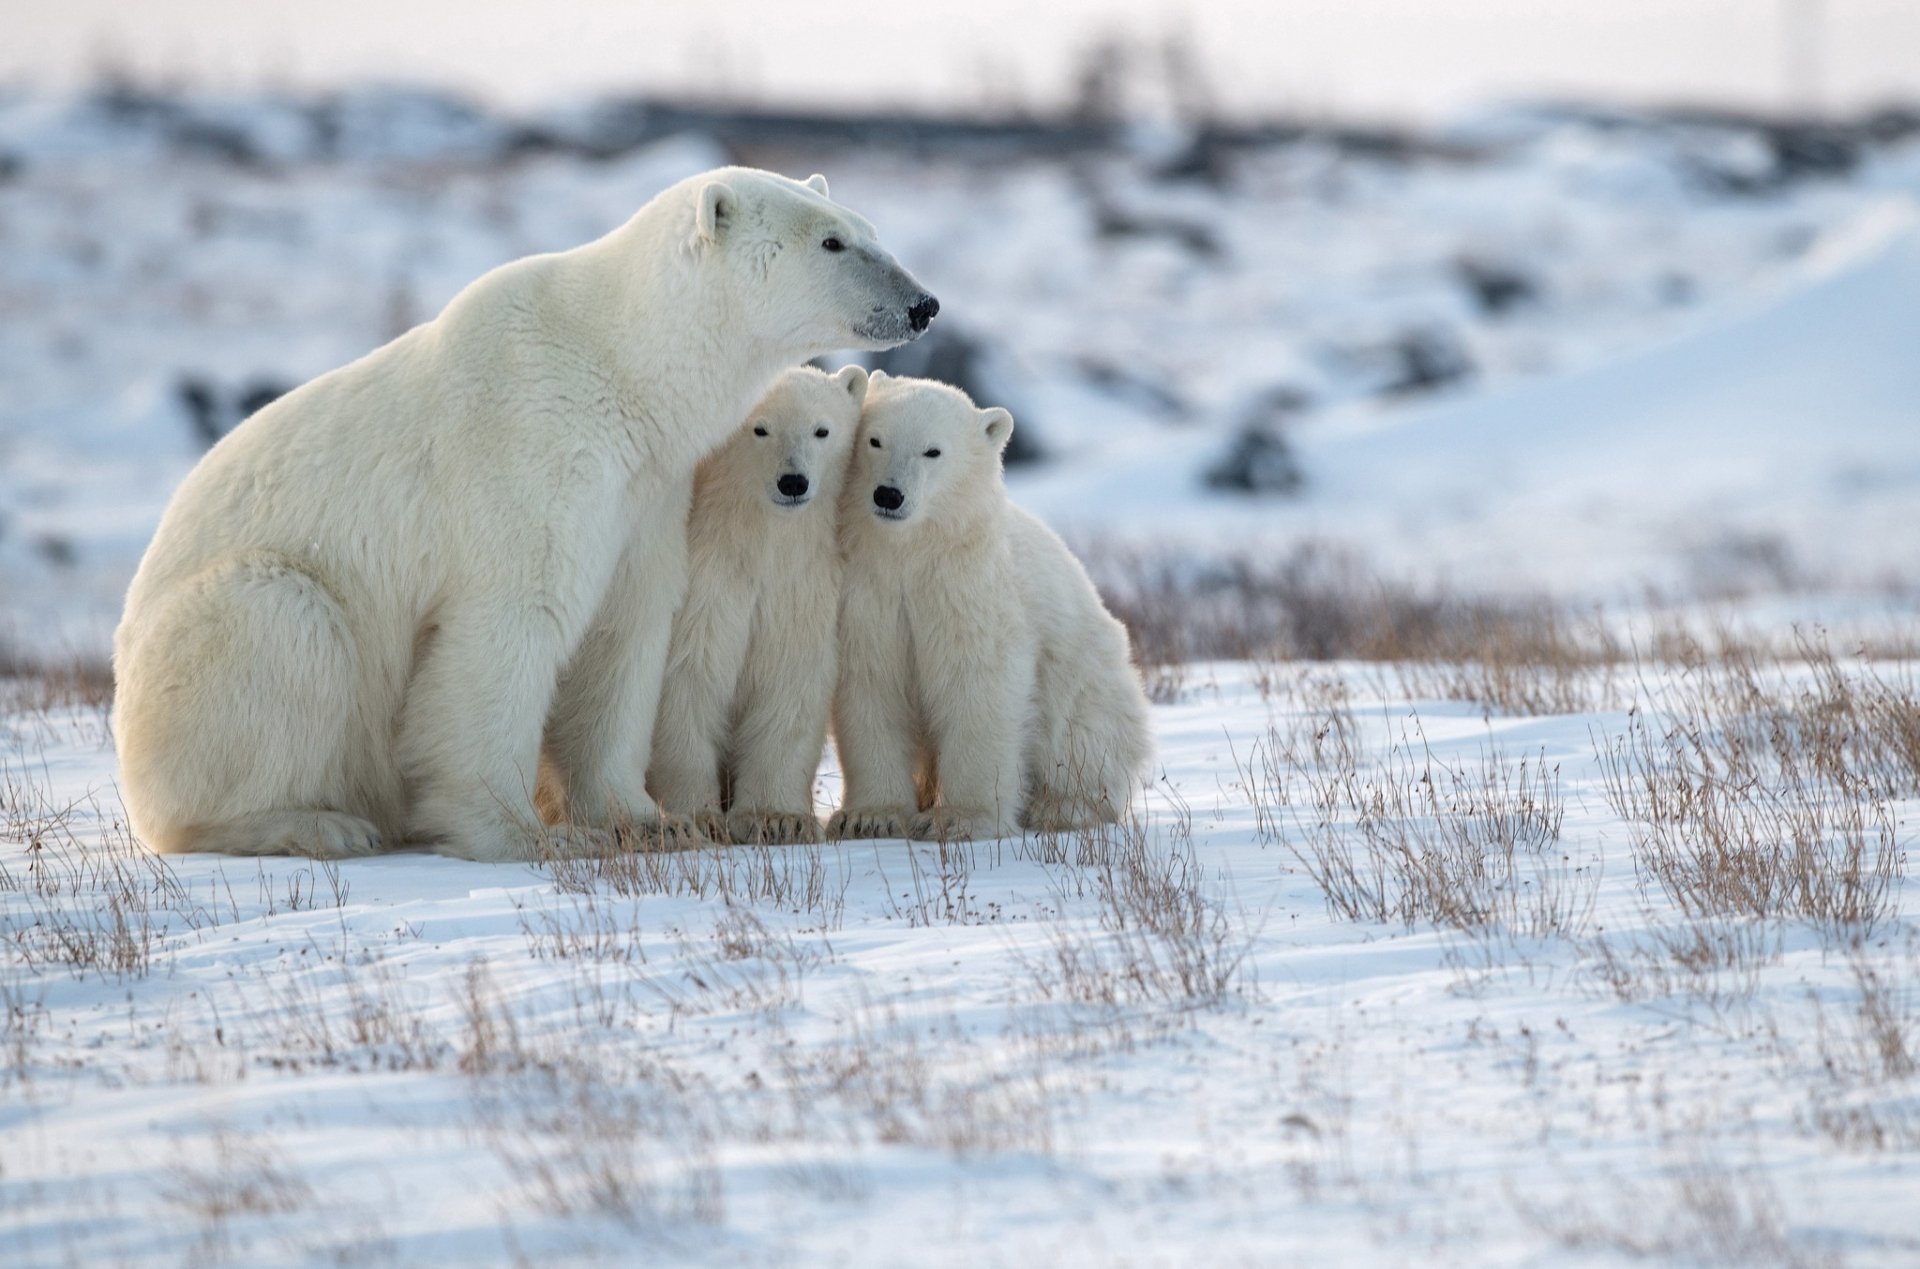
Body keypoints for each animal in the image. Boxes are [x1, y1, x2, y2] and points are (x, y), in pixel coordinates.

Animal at [647, 363, 868, 844]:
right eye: (759, 429)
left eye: (822, 429)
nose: (793, 482)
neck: (759, 544)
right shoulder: (705, 590)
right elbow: (688, 683)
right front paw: (699, 817)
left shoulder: (799, 592)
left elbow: (787, 688)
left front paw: (775, 818)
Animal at [827, 372, 1153, 841]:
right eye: (875, 440)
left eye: (933, 450)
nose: (888, 495)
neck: (911, 553)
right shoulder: (869, 594)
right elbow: (871, 685)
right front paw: (869, 817)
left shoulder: (970, 592)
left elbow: (978, 684)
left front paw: (958, 819)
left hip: (1086, 673)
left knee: (1078, 735)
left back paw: (1061, 807)